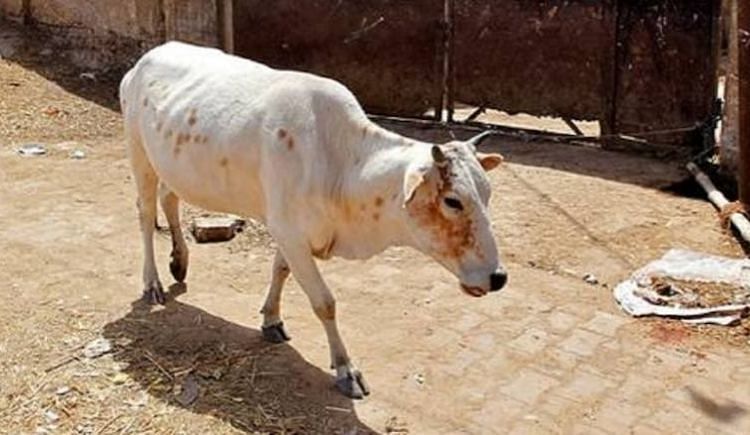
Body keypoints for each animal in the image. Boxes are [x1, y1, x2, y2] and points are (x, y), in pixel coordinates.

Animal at [119, 41, 507, 399]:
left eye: (487, 193)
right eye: (453, 201)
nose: (498, 277)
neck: (338, 163)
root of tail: (144, 60)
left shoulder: (288, 231)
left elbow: (280, 270)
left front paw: (271, 320)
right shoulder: (289, 231)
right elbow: (325, 302)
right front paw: (346, 369)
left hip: (172, 165)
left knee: (169, 198)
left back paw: (179, 262)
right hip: (139, 154)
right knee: (145, 214)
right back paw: (152, 283)